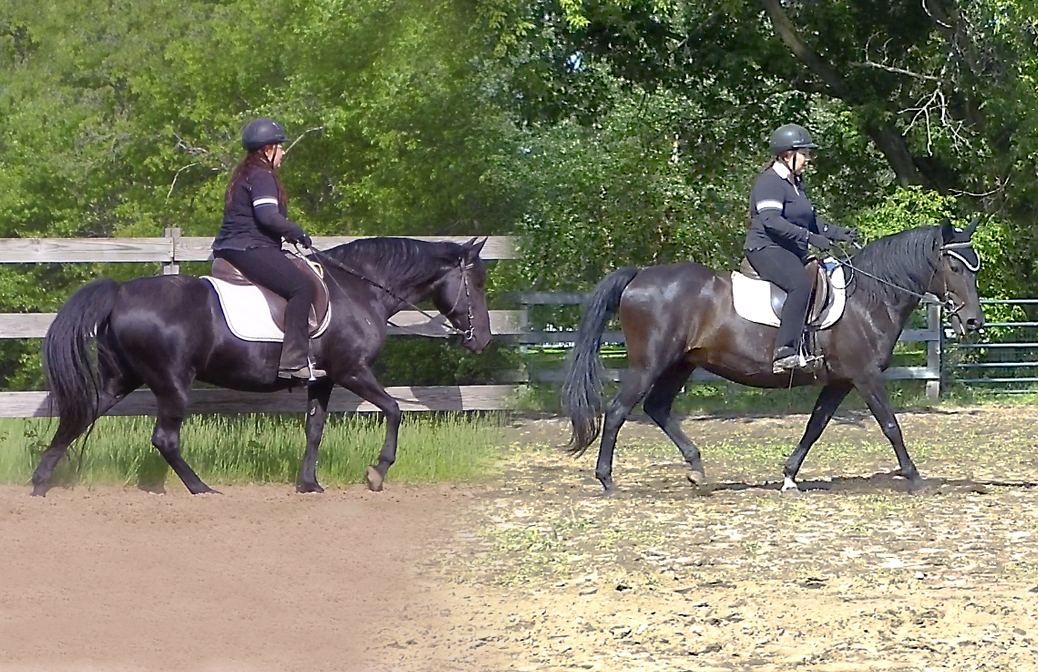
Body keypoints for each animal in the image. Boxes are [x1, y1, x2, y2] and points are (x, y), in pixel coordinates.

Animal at [32, 236, 492, 496]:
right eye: (477, 282)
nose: (483, 340)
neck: (359, 290)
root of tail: (121, 292)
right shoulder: (352, 371)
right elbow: (395, 410)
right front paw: (377, 473)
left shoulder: (322, 380)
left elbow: (314, 429)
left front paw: (309, 484)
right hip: (173, 382)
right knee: (165, 439)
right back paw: (202, 489)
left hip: (120, 379)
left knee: (80, 416)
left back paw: (40, 483)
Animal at [563, 219, 984, 494]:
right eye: (953, 265)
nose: (973, 322)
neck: (867, 298)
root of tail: (638, 278)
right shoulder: (864, 376)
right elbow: (890, 425)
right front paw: (915, 477)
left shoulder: (839, 381)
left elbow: (815, 426)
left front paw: (789, 476)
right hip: (650, 364)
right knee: (618, 411)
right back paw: (607, 480)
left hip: (680, 364)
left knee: (657, 408)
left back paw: (696, 469)